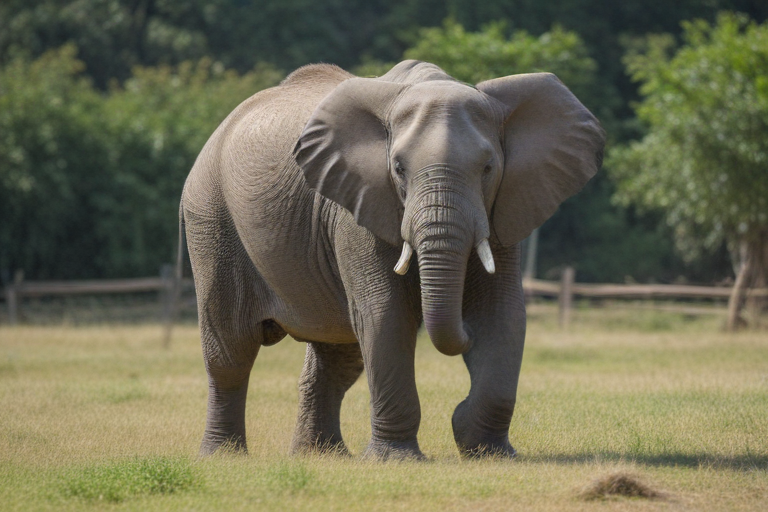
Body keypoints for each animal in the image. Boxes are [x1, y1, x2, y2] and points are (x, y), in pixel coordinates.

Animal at [180, 60, 604, 460]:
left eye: (488, 169)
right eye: (398, 169)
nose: (462, 332)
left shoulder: (504, 206)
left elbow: (500, 313)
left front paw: (483, 447)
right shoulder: (356, 207)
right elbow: (386, 314)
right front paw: (397, 460)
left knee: (338, 355)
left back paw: (322, 456)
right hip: (210, 217)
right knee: (231, 351)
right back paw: (224, 455)